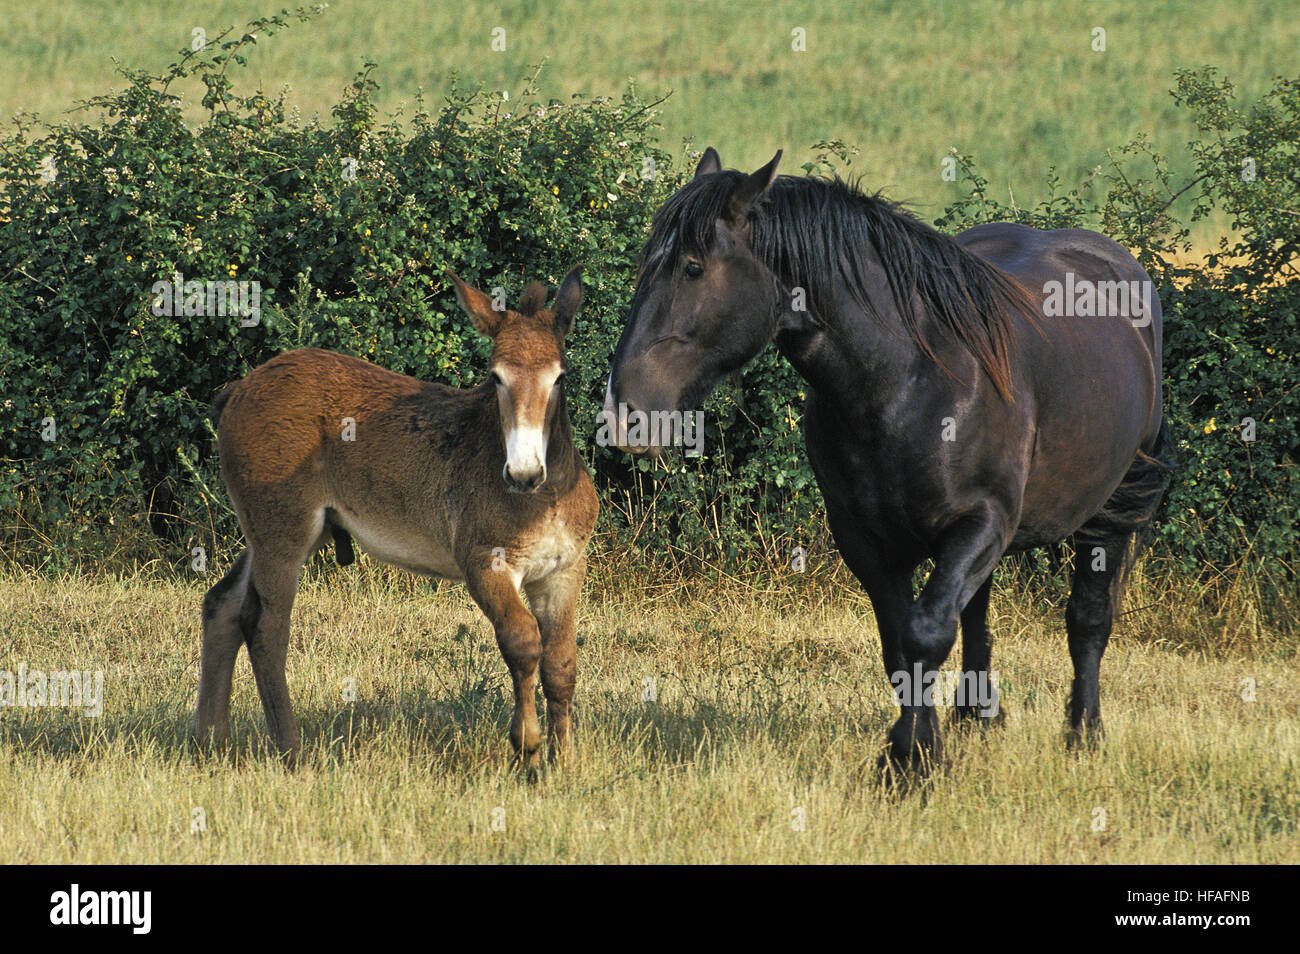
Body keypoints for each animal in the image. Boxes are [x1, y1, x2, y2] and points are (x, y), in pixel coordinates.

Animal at [196, 266, 598, 771]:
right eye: (496, 377)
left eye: (560, 377)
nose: (524, 472)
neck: (545, 497)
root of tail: (238, 390)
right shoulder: (485, 562)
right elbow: (524, 642)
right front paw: (527, 748)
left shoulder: (564, 570)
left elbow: (561, 664)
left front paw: (566, 761)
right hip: (282, 530)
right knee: (266, 625)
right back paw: (291, 751)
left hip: (277, 531)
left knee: (222, 604)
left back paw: (210, 742)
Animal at [602, 148, 1173, 777]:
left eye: (693, 268)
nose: (623, 413)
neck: (908, 382)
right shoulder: (866, 540)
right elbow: (900, 646)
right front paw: (915, 750)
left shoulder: (981, 523)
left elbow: (925, 635)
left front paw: (911, 762)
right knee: (976, 613)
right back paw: (979, 717)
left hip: (1110, 511)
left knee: (1087, 619)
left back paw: (1084, 733)